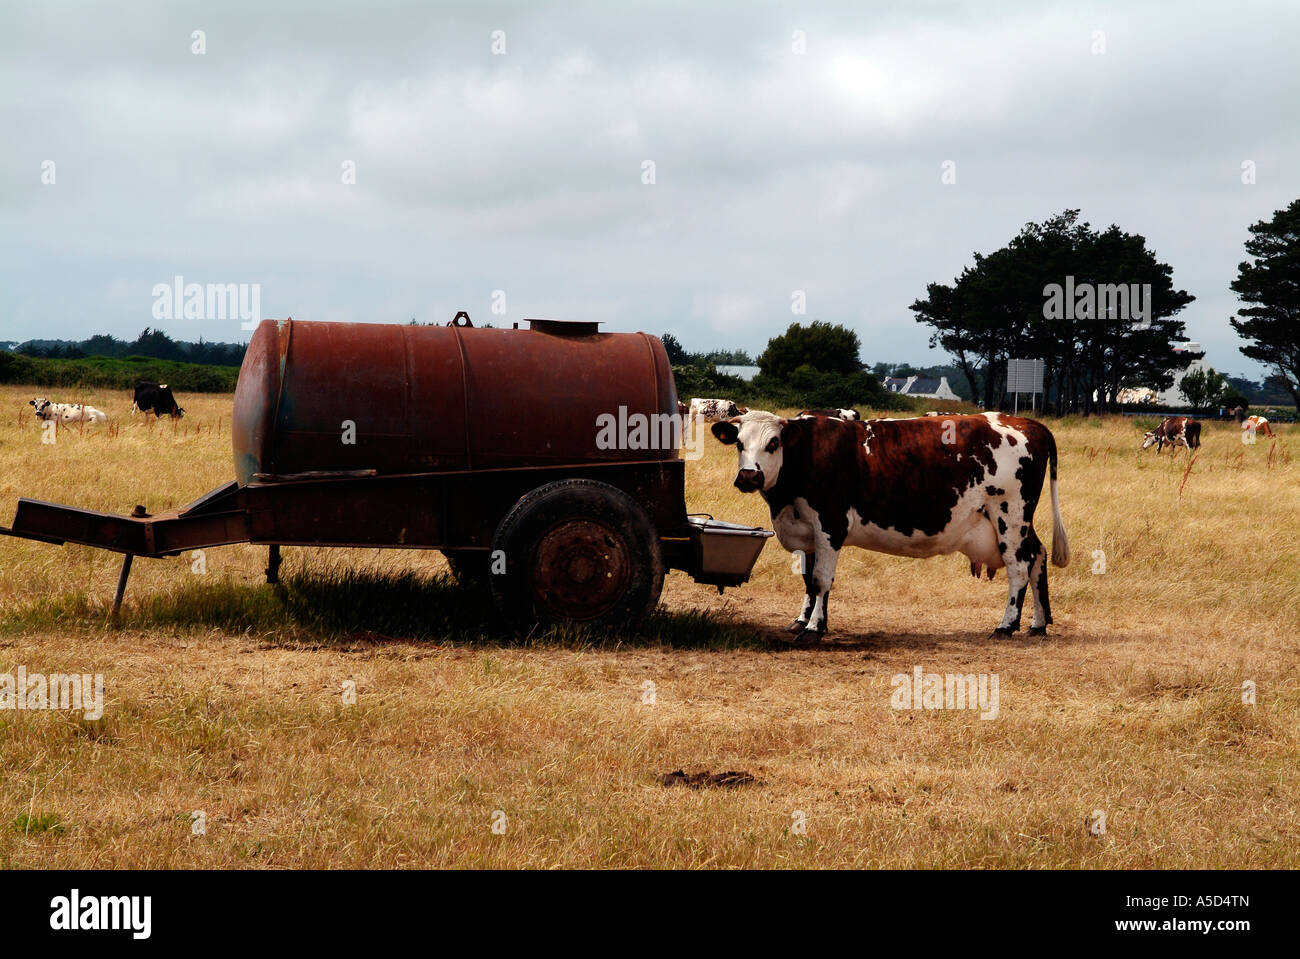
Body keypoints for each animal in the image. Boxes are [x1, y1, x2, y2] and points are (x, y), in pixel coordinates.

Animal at [711, 411, 1070, 640]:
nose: (748, 476)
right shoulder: (808, 532)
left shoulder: (830, 526)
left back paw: (1007, 625)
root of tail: (1025, 422)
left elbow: (821, 579)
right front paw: (803, 621)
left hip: (1010, 515)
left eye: (773, 443)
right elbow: (808, 582)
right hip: (1019, 523)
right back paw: (1038, 624)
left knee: (1020, 567)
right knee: (1038, 555)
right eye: (739, 444)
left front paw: (815, 629)